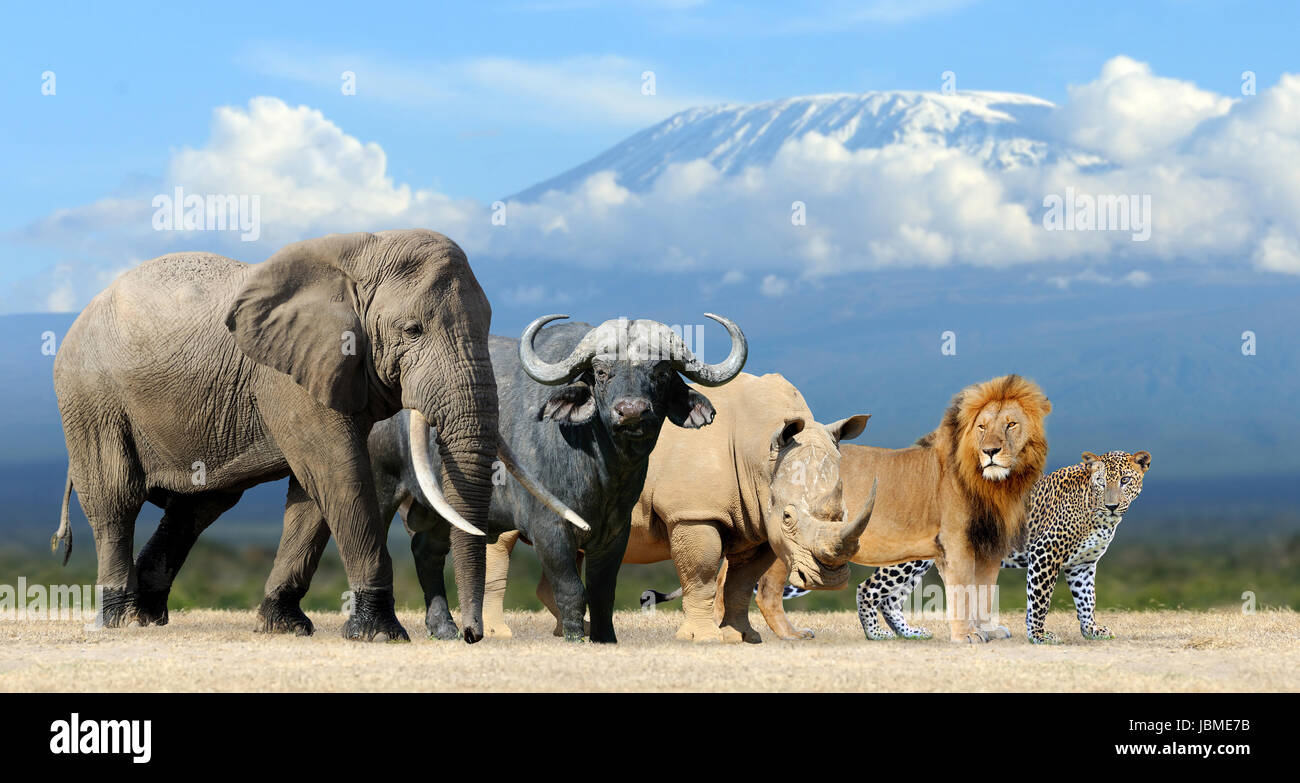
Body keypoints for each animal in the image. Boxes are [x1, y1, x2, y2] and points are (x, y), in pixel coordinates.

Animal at [50, 229, 583, 642]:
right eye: (412, 330)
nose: (471, 635)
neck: (363, 252)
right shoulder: (290, 373)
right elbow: (337, 471)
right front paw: (379, 634)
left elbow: (312, 492)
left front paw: (282, 626)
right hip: (90, 397)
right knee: (117, 498)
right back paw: (122, 619)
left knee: (199, 506)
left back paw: (147, 614)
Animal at [273, 313, 747, 642]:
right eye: (601, 373)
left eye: (661, 373)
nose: (631, 411)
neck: (601, 469)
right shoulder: (549, 528)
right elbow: (571, 589)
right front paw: (575, 637)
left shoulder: (614, 534)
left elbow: (602, 590)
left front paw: (605, 638)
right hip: (382, 482)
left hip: (438, 506)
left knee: (426, 551)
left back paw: (444, 628)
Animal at [750, 374, 1051, 643]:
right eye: (982, 427)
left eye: (1011, 424)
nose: (990, 451)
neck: (997, 484)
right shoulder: (957, 543)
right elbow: (962, 592)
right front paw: (966, 635)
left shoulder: (989, 545)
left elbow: (984, 592)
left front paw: (987, 630)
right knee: (766, 592)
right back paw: (790, 634)